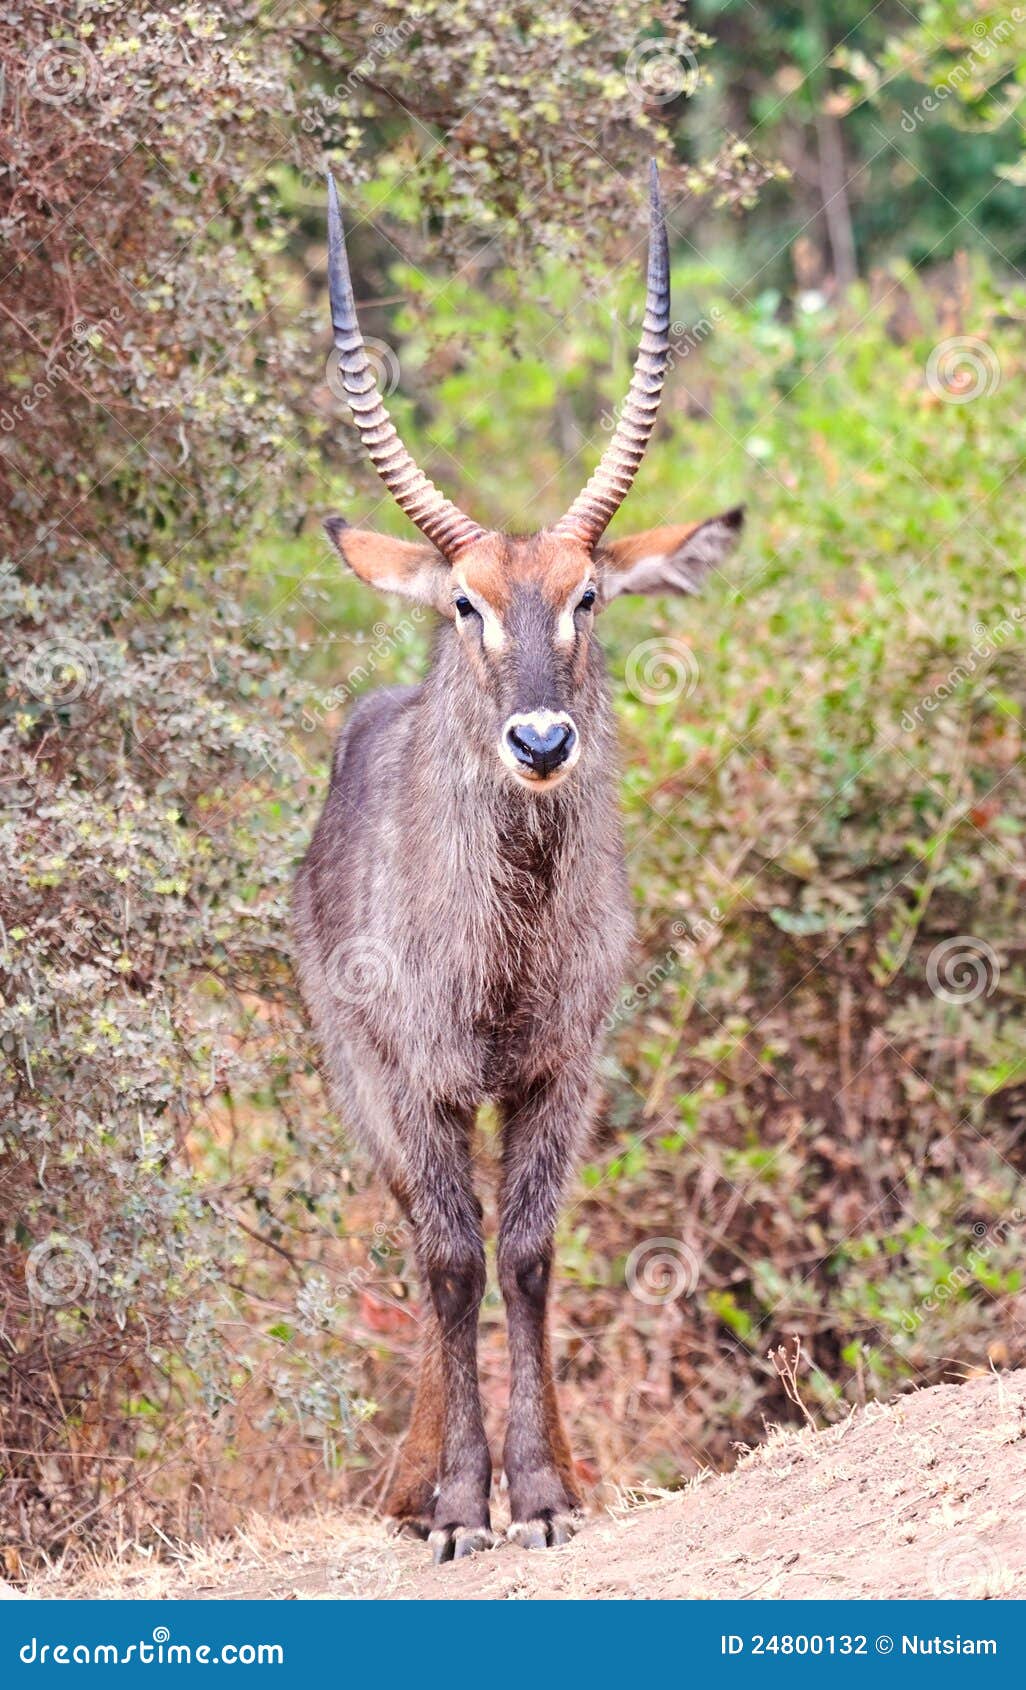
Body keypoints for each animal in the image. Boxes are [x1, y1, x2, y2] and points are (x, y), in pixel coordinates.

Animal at [293, 164, 743, 1562]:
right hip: (358, 1078)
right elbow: (449, 1259)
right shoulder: (419, 1077)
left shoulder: (562, 1067)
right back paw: (409, 1476)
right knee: (411, 1229)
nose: (541, 741)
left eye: (588, 596)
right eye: (465, 602)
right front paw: (455, 1503)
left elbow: (532, 1252)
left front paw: (543, 1489)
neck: (505, 943)